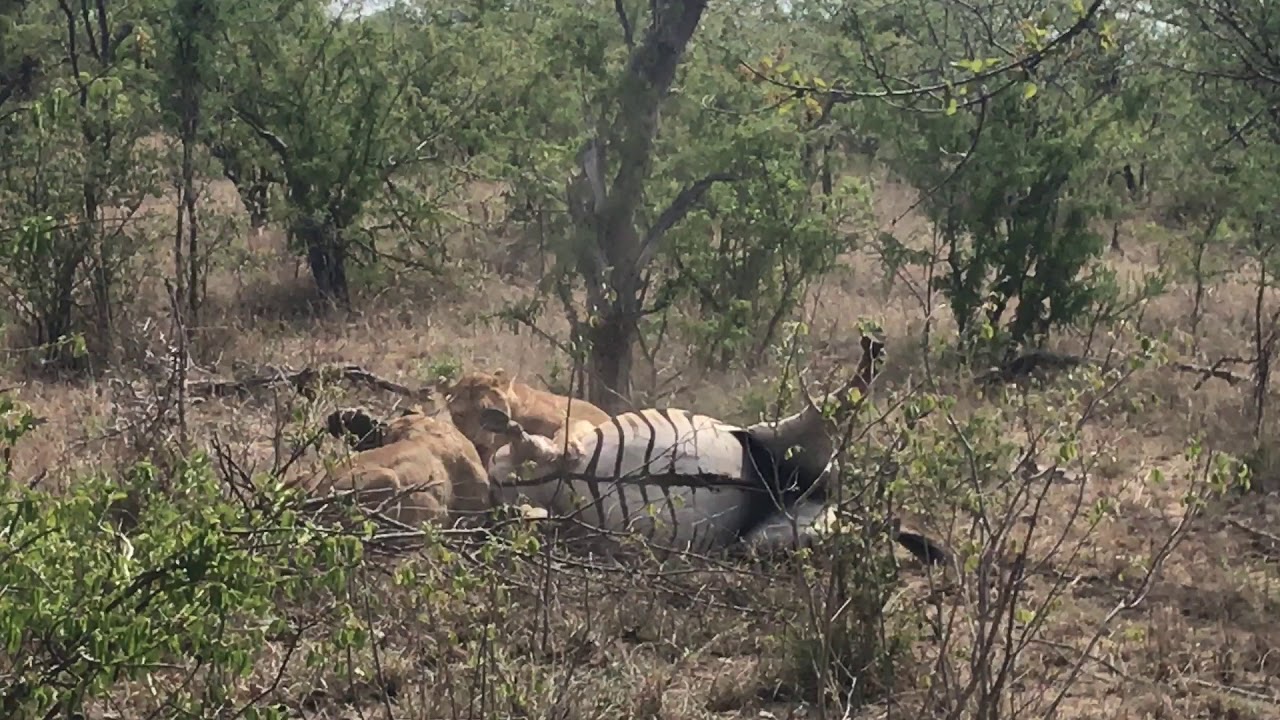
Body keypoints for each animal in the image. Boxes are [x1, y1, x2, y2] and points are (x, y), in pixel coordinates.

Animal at [436, 369, 610, 467]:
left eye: (486, 410)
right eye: (459, 415)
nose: (477, 444)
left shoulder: (574, 420)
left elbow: (565, 429)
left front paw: (567, 448)